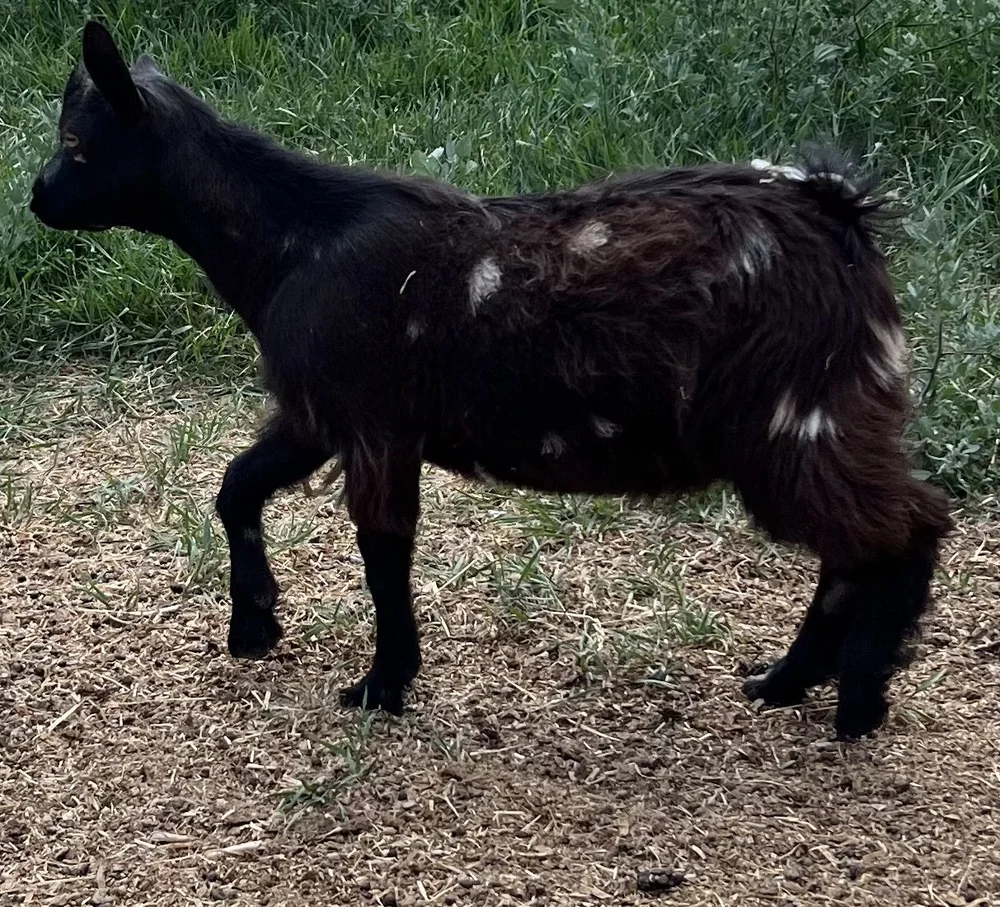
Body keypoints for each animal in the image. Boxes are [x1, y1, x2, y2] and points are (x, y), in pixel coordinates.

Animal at [30, 21, 953, 740]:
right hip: (814, 417)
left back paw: (858, 699)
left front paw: (382, 683)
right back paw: (785, 684)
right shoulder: (319, 412)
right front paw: (256, 624)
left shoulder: (374, 420)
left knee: (905, 528)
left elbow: (382, 551)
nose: (38, 200)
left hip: (794, 420)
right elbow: (236, 487)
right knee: (858, 547)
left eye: (78, 143)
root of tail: (841, 214)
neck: (298, 240)